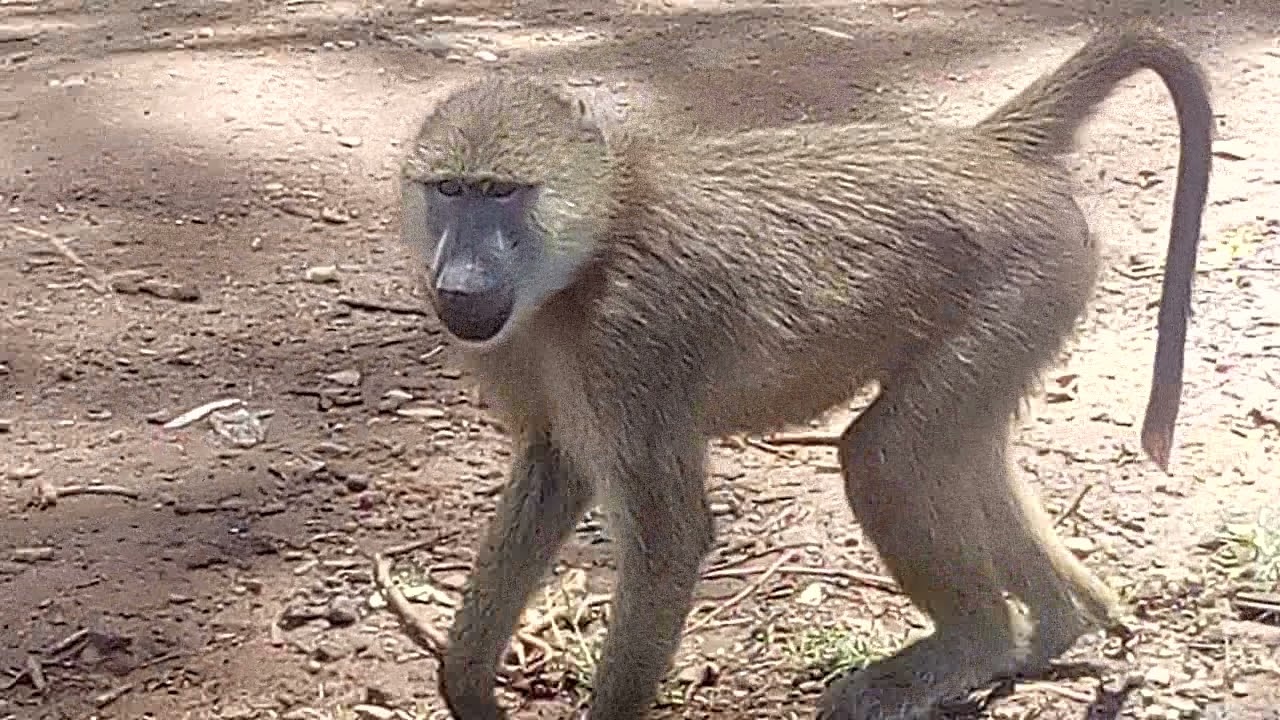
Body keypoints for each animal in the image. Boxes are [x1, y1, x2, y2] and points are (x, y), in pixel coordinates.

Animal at [397, 19, 1211, 720]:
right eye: (449, 190)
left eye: (502, 192)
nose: (458, 282)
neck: (589, 251)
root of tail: (984, 151)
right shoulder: (521, 352)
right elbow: (554, 469)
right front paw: (467, 686)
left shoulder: (631, 342)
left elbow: (670, 539)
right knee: (960, 453)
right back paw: (1062, 623)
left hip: (1028, 280)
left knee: (888, 457)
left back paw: (979, 644)